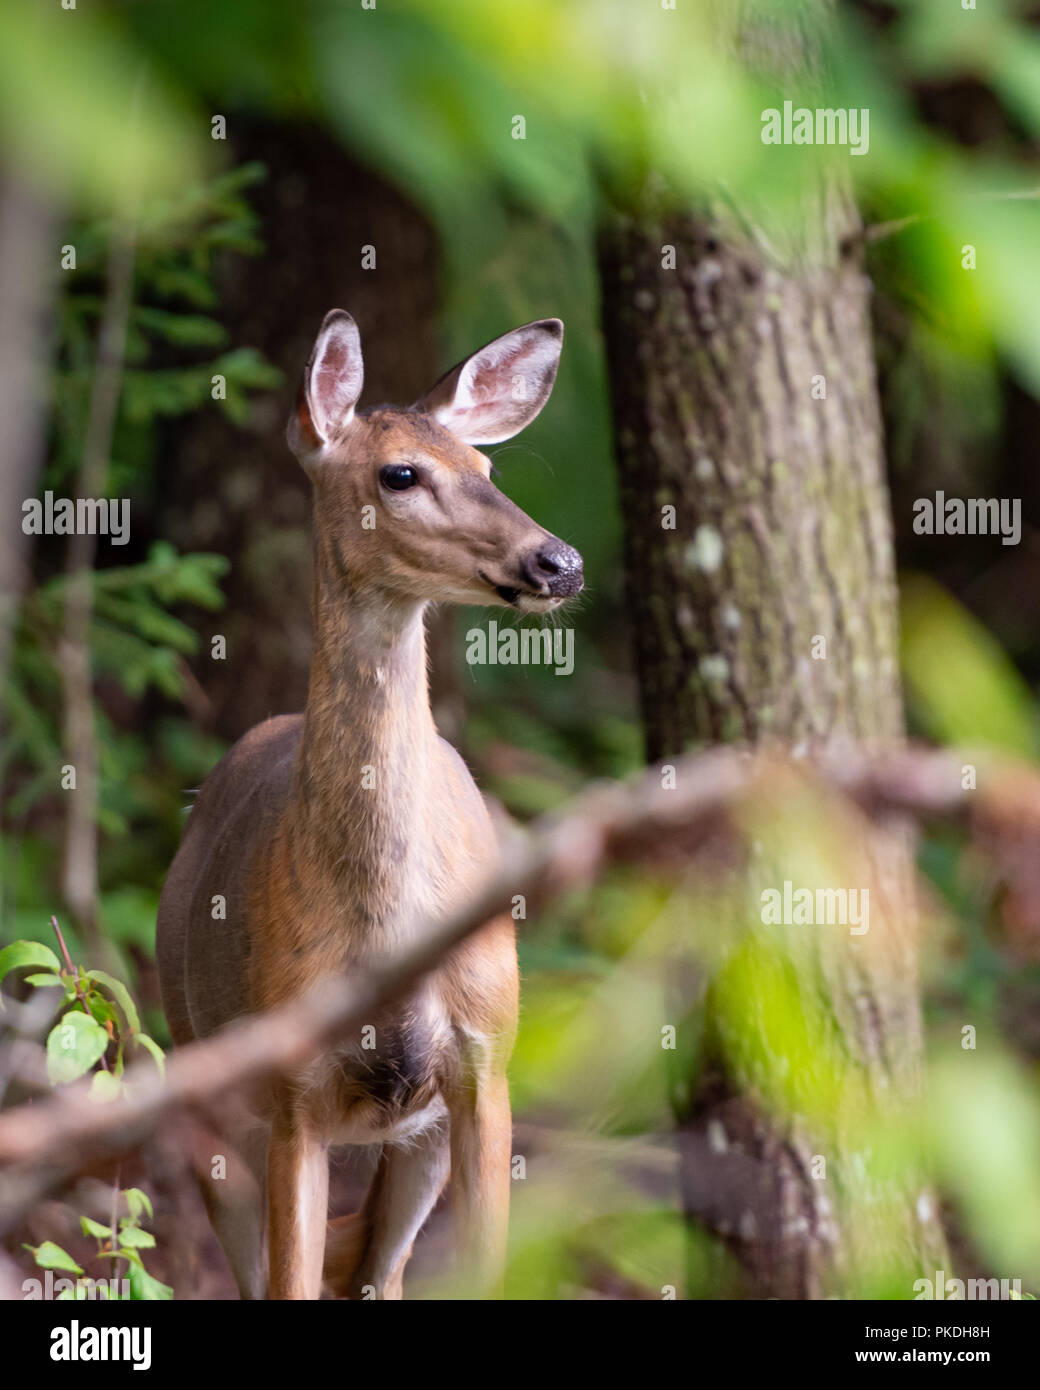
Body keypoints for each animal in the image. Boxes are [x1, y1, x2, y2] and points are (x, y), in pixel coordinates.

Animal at [156, 311, 582, 1300]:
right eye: (400, 474)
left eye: (489, 468)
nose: (560, 561)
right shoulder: (293, 1093)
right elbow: (288, 1280)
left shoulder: (485, 1060)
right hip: (203, 1081)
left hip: (413, 1142)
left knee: (377, 1274)